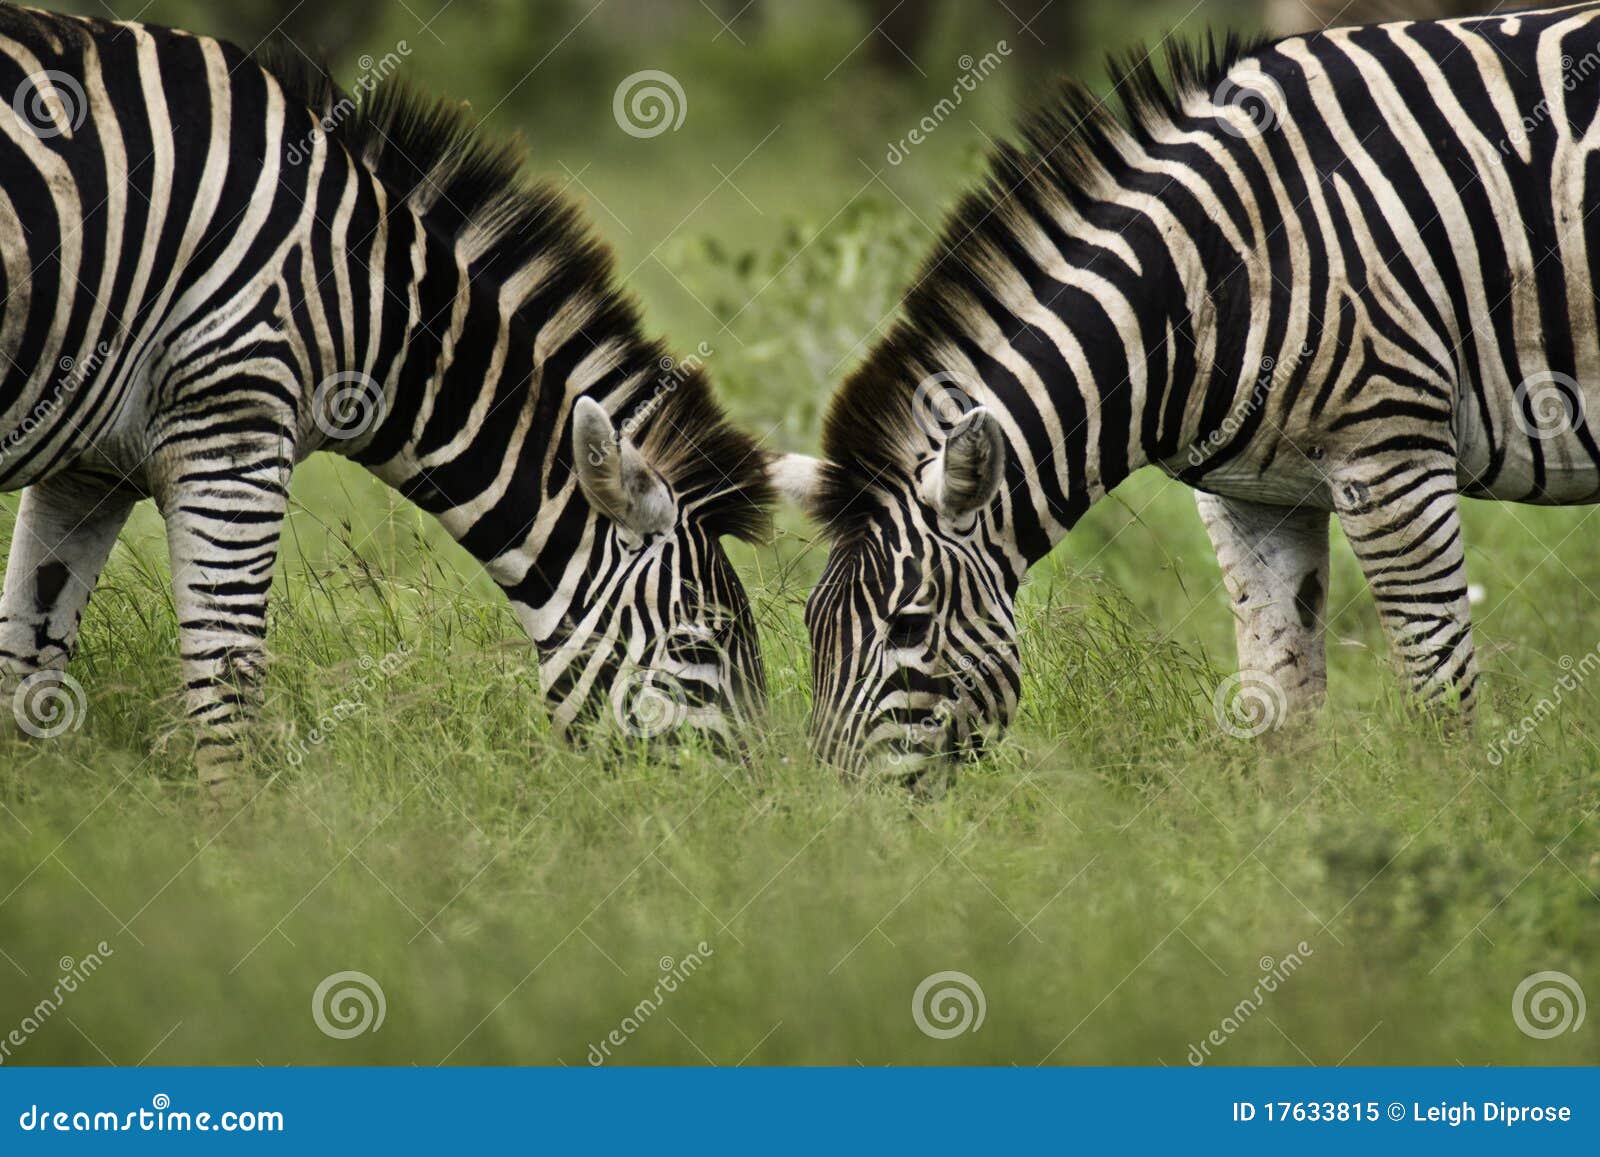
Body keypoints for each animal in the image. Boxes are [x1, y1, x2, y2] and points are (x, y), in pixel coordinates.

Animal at [0, 7, 772, 791]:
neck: (367, 299)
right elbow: (228, 685)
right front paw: (239, 828)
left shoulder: (89, 472)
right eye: (699, 644)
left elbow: (29, 671)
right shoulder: (230, 426)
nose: (752, 802)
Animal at [774, 3, 1600, 774]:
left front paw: (1452, 810)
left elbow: (1439, 692)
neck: (1219, 273)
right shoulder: (1254, 496)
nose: (849, 817)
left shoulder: (1392, 454)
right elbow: (1277, 704)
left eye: (909, 625)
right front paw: (1299, 827)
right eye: (813, 624)